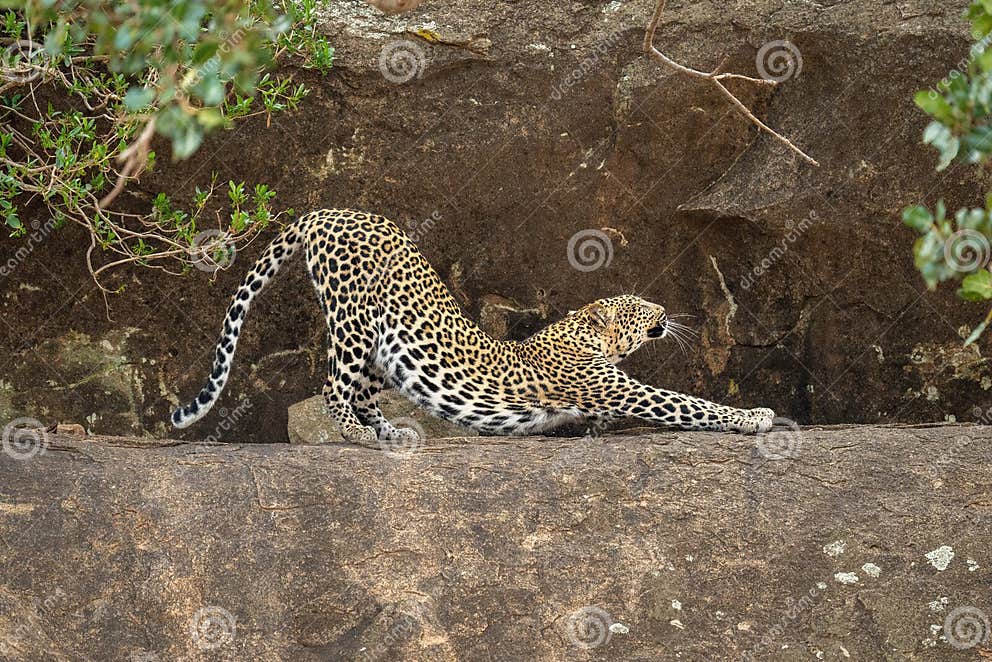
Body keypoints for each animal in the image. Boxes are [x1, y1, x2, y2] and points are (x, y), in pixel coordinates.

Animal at [172, 208, 776, 443]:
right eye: (635, 307)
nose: (664, 312)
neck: (581, 334)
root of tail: (333, 211)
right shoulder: (614, 388)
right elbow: (688, 404)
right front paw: (755, 416)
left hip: (383, 347)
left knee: (364, 392)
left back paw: (390, 432)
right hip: (351, 322)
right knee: (333, 387)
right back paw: (356, 435)